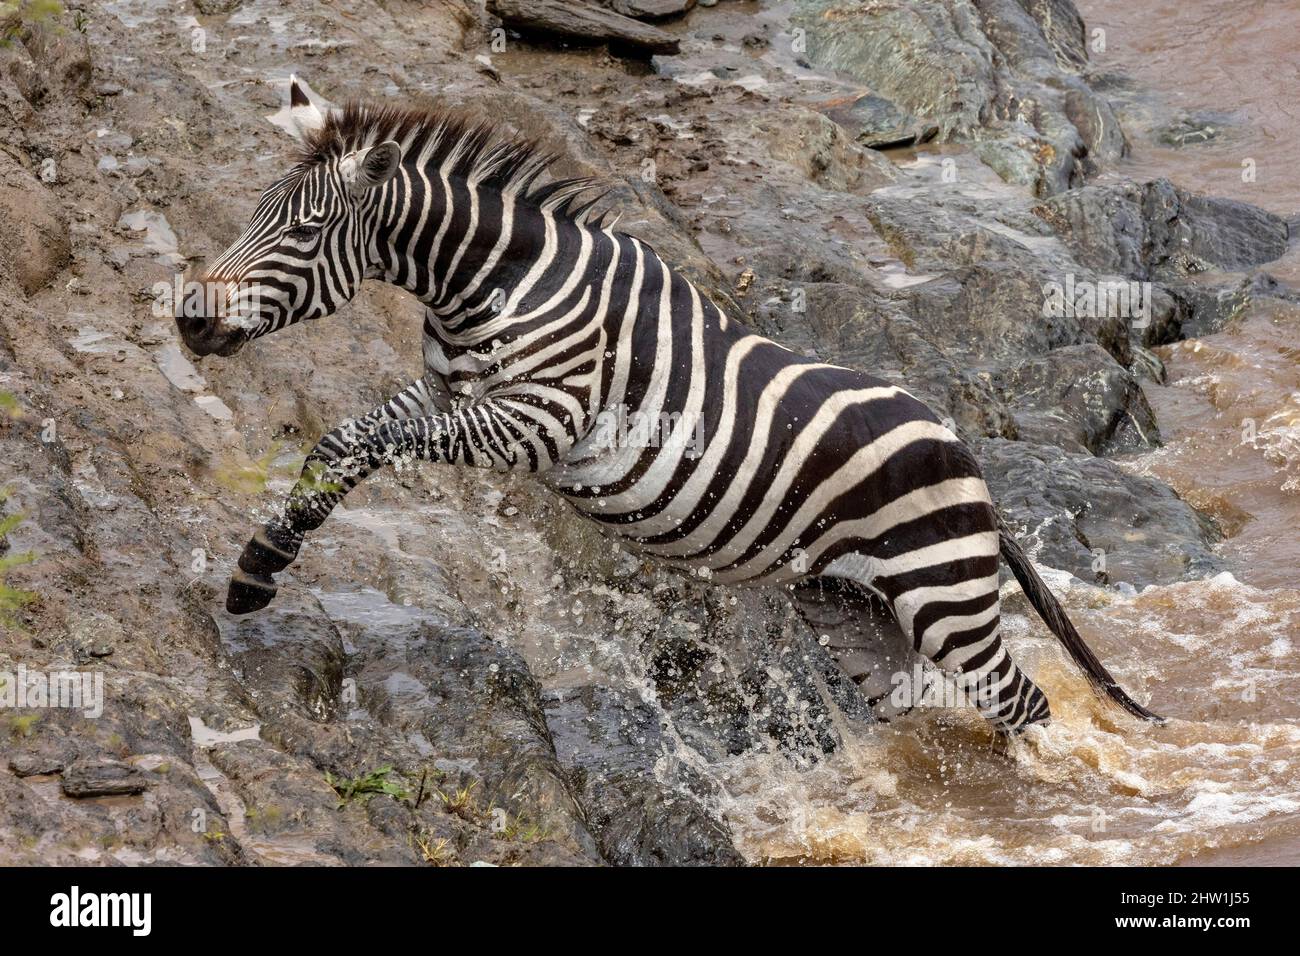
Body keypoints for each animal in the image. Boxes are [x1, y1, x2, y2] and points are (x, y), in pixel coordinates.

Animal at [177, 78, 1162, 734]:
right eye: (256, 211)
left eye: (304, 230)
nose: (190, 317)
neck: (494, 283)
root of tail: (970, 461)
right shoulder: (449, 390)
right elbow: (347, 439)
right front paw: (258, 569)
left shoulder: (536, 421)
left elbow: (363, 443)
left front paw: (259, 570)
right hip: (850, 604)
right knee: (917, 709)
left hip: (942, 594)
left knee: (1022, 704)